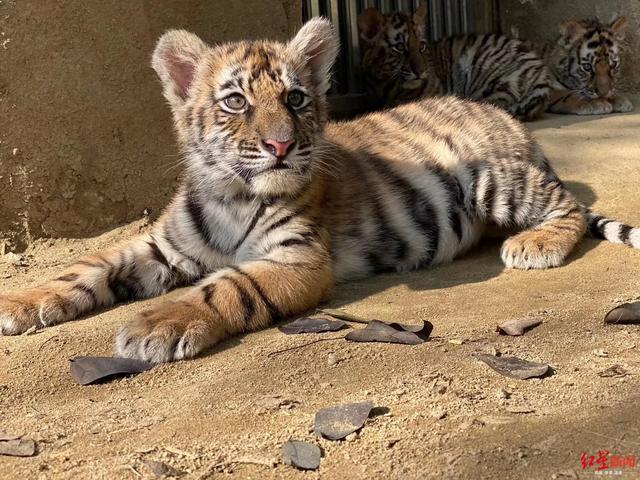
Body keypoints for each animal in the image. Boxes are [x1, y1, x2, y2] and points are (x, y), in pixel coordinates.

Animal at [1, 18, 639, 363]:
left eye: (296, 98)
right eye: (236, 101)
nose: (281, 146)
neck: (230, 194)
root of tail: (504, 116)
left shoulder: (296, 260)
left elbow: (223, 288)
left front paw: (157, 324)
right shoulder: (160, 245)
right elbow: (86, 267)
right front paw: (19, 303)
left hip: (490, 179)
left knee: (570, 207)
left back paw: (535, 245)